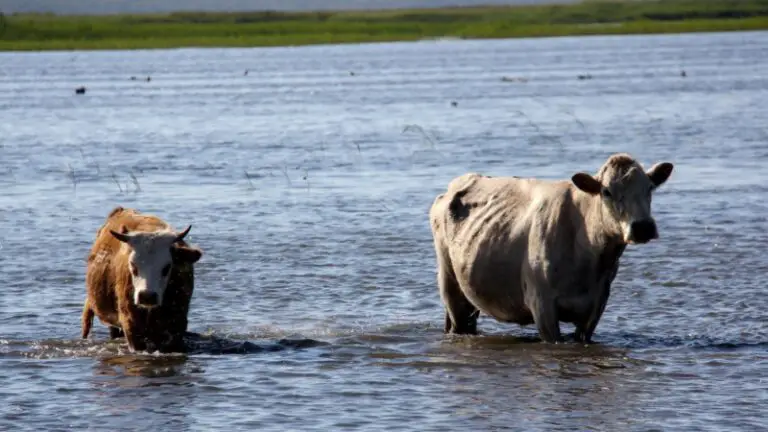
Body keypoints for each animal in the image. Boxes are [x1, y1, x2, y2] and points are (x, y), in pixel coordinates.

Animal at [429, 153, 674, 343]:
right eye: (607, 192)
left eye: (650, 188)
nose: (642, 226)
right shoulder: (541, 304)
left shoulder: (597, 304)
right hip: (450, 283)